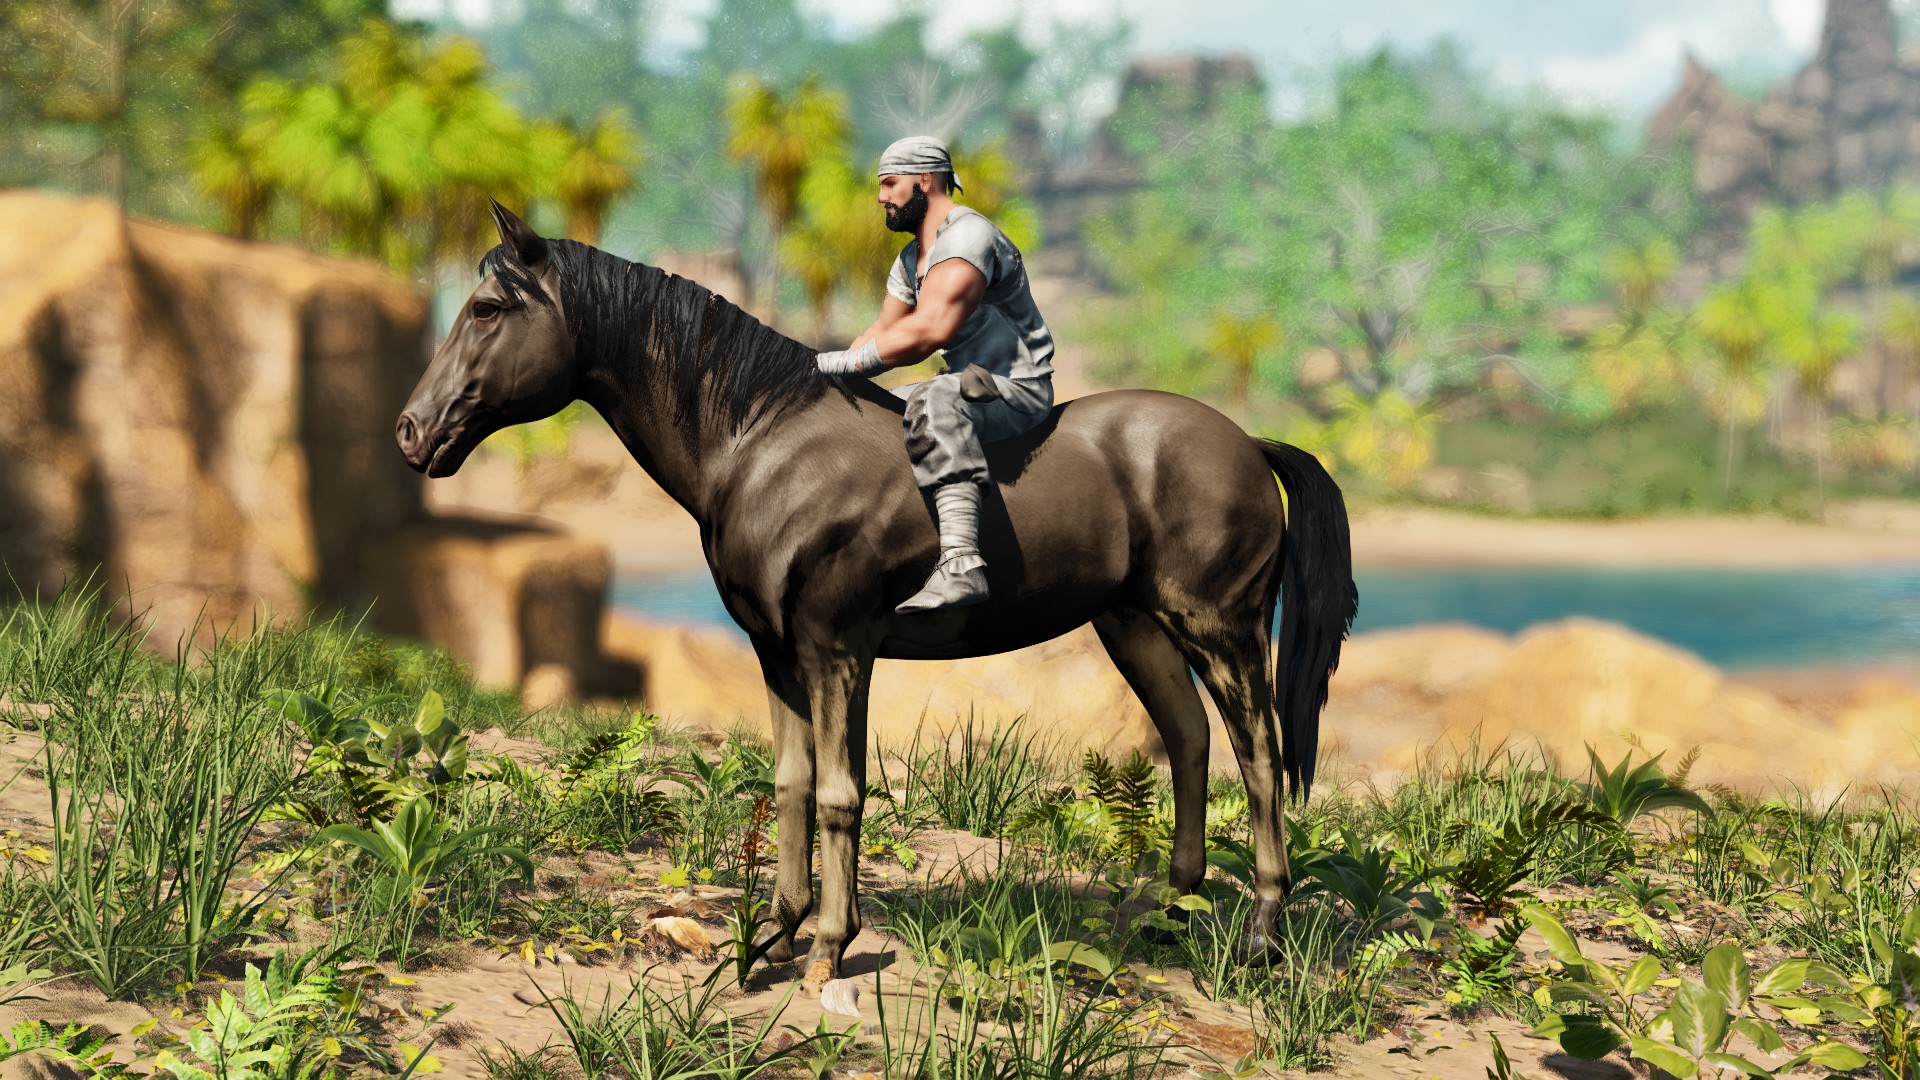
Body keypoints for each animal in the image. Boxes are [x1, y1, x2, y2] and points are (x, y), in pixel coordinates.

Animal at [395, 200, 1358, 984]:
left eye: (487, 309)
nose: (410, 431)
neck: (762, 443)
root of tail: (1249, 442)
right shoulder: (779, 654)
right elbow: (791, 784)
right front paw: (773, 937)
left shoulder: (837, 650)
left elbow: (837, 795)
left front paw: (827, 945)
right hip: (1135, 626)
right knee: (1192, 741)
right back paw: (1167, 918)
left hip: (1222, 628)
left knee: (1260, 759)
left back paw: (1260, 937)